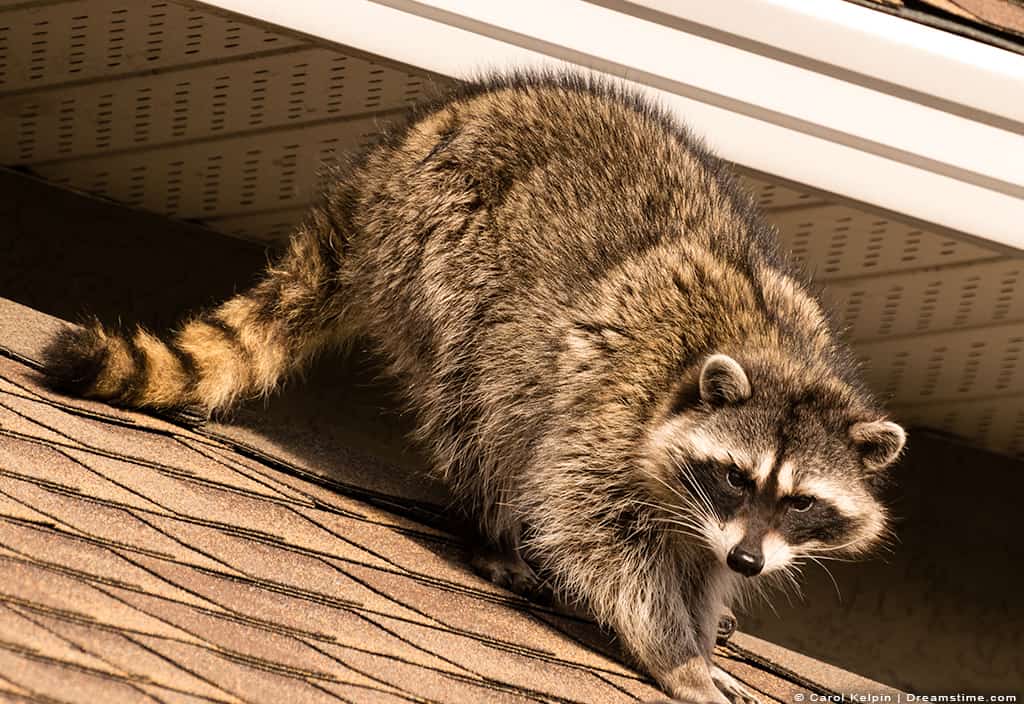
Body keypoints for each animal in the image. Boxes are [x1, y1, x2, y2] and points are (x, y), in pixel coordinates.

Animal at [42, 73, 905, 704]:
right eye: (736, 477)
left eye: (802, 501)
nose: (753, 562)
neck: (774, 354)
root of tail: (401, 151)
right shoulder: (610, 408)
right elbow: (591, 528)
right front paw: (675, 653)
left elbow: (697, 559)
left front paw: (711, 605)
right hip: (445, 249)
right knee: (486, 402)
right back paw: (494, 529)